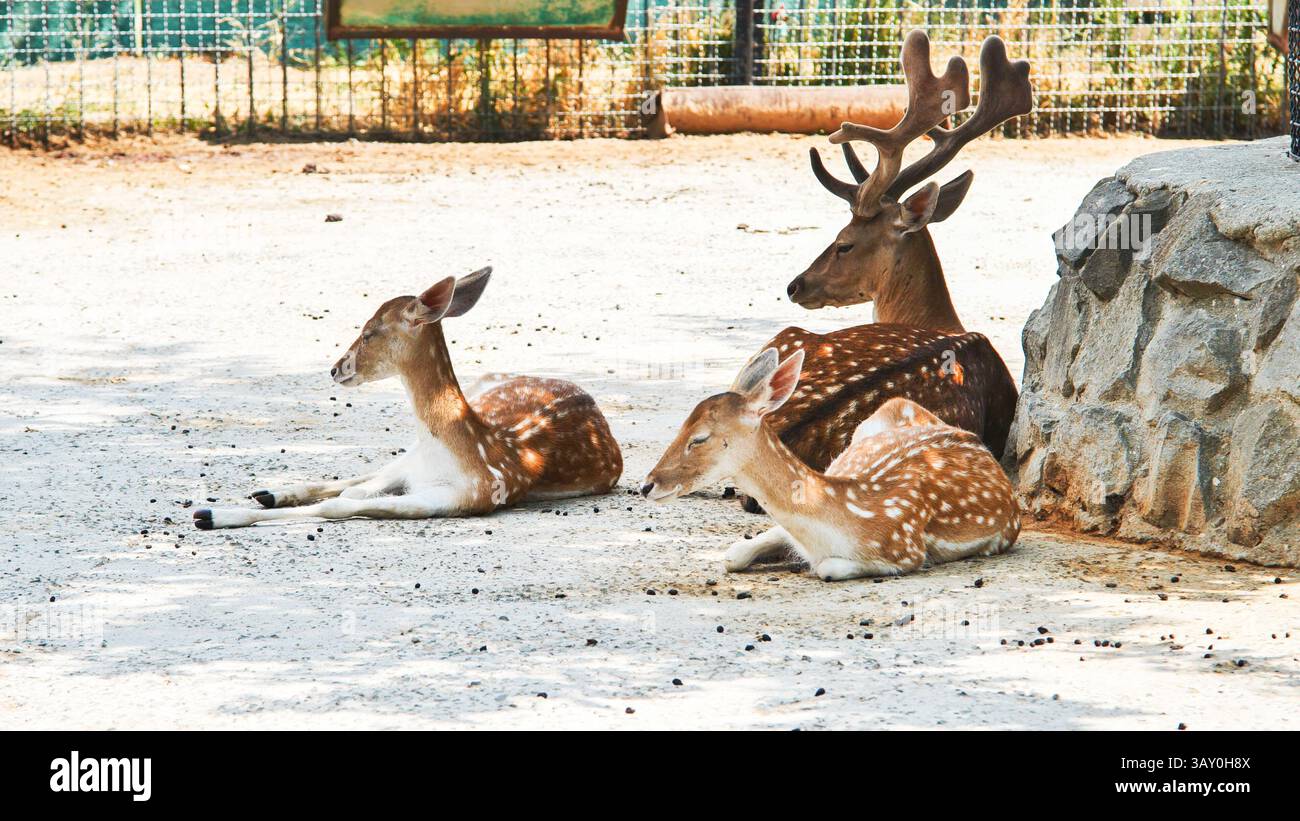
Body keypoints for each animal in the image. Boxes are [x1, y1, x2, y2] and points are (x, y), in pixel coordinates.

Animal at [193, 267, 623, 530]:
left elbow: (341, 503)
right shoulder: (413, 471)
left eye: (369, 332)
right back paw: (268, 492)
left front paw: (210, 515)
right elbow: (353, 489)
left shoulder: (462, 498)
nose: (335, 369)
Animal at [641, 348, 1020, 580]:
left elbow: (826, 568)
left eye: (699, 438)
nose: (647, 485)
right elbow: (734, 554)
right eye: (681, 424)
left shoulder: (905, 550)